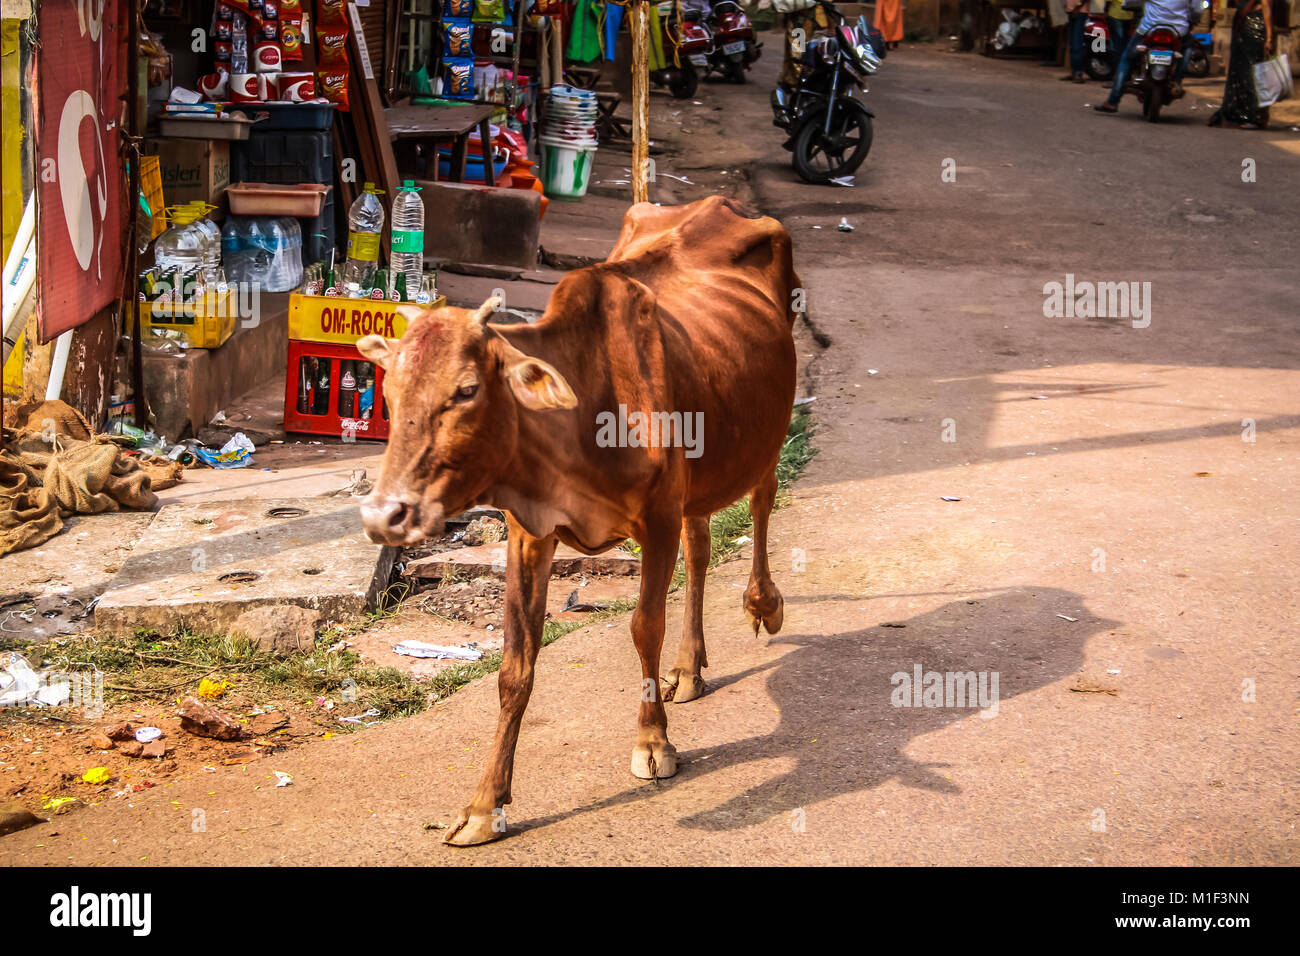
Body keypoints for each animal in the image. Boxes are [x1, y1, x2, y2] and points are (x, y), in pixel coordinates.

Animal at [358, 195, 799, 845]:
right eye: (388, 391)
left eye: (466, 390)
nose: (384, 513)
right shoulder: (530, 532)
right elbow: (515, 666)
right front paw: (485, 804)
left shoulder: (657, 520)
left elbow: (644, 628)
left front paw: (653, 743)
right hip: (699, 474)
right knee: (701, 547)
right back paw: (688, 670)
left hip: (764, 435)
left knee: (763, 503)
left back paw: (762, 603)